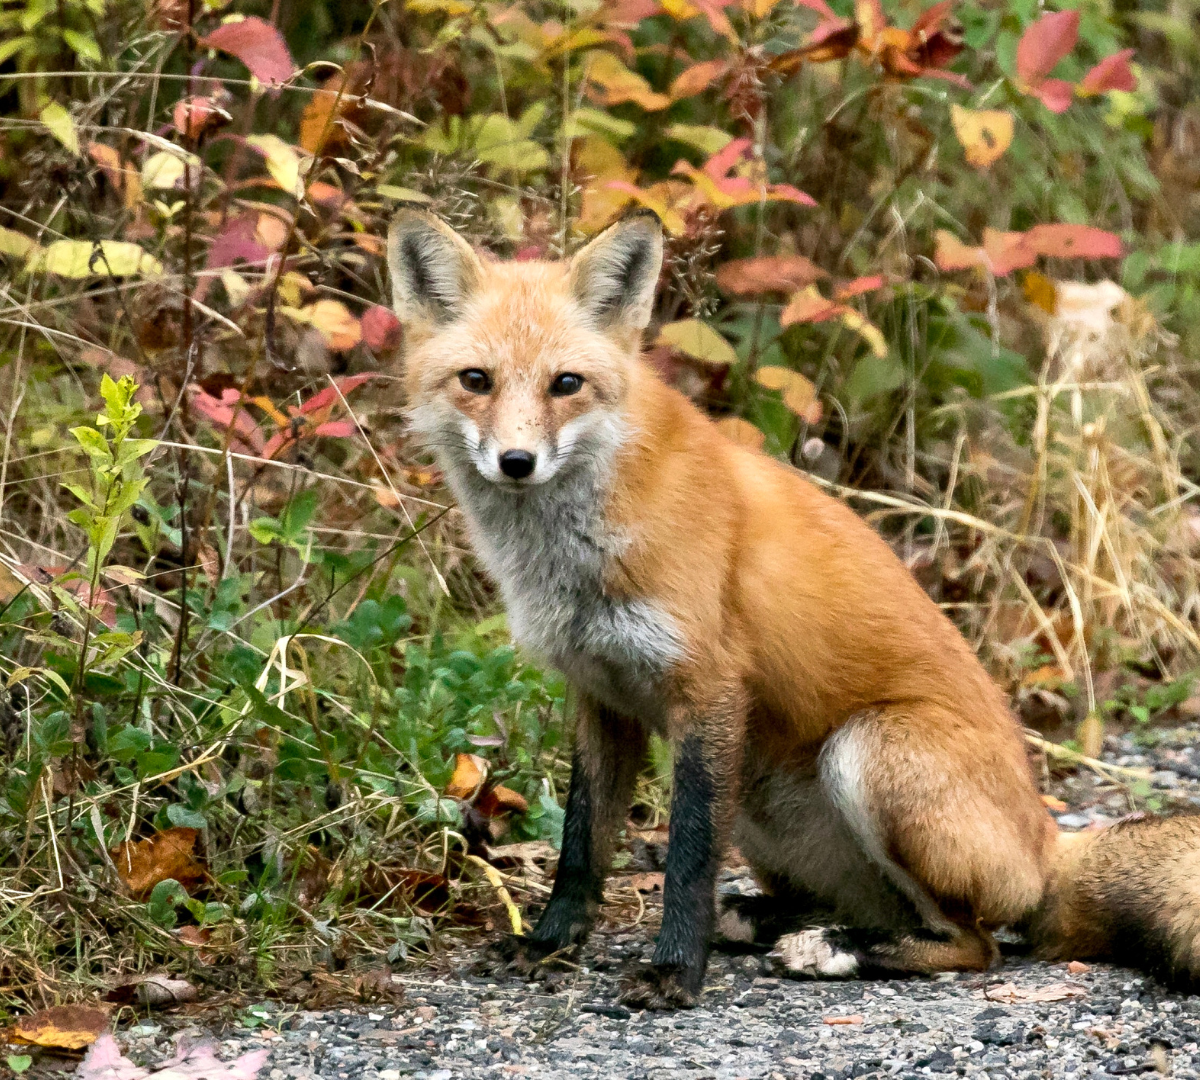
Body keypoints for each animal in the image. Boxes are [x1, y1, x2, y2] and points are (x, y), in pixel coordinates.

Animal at [386, 206, 1200, 1009]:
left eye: (566, 383)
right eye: (476, 380)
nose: (517, 462)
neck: (573, 554)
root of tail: (1046, 840)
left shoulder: (708, 688)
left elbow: (686, 858)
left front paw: (675, 973)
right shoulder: (600, 695)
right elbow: (582, 845)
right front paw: (552, 942)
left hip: (870, 751)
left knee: (975, 945)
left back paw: (835, 950)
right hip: (762, 797)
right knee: (850, 905)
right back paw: (767, 920)